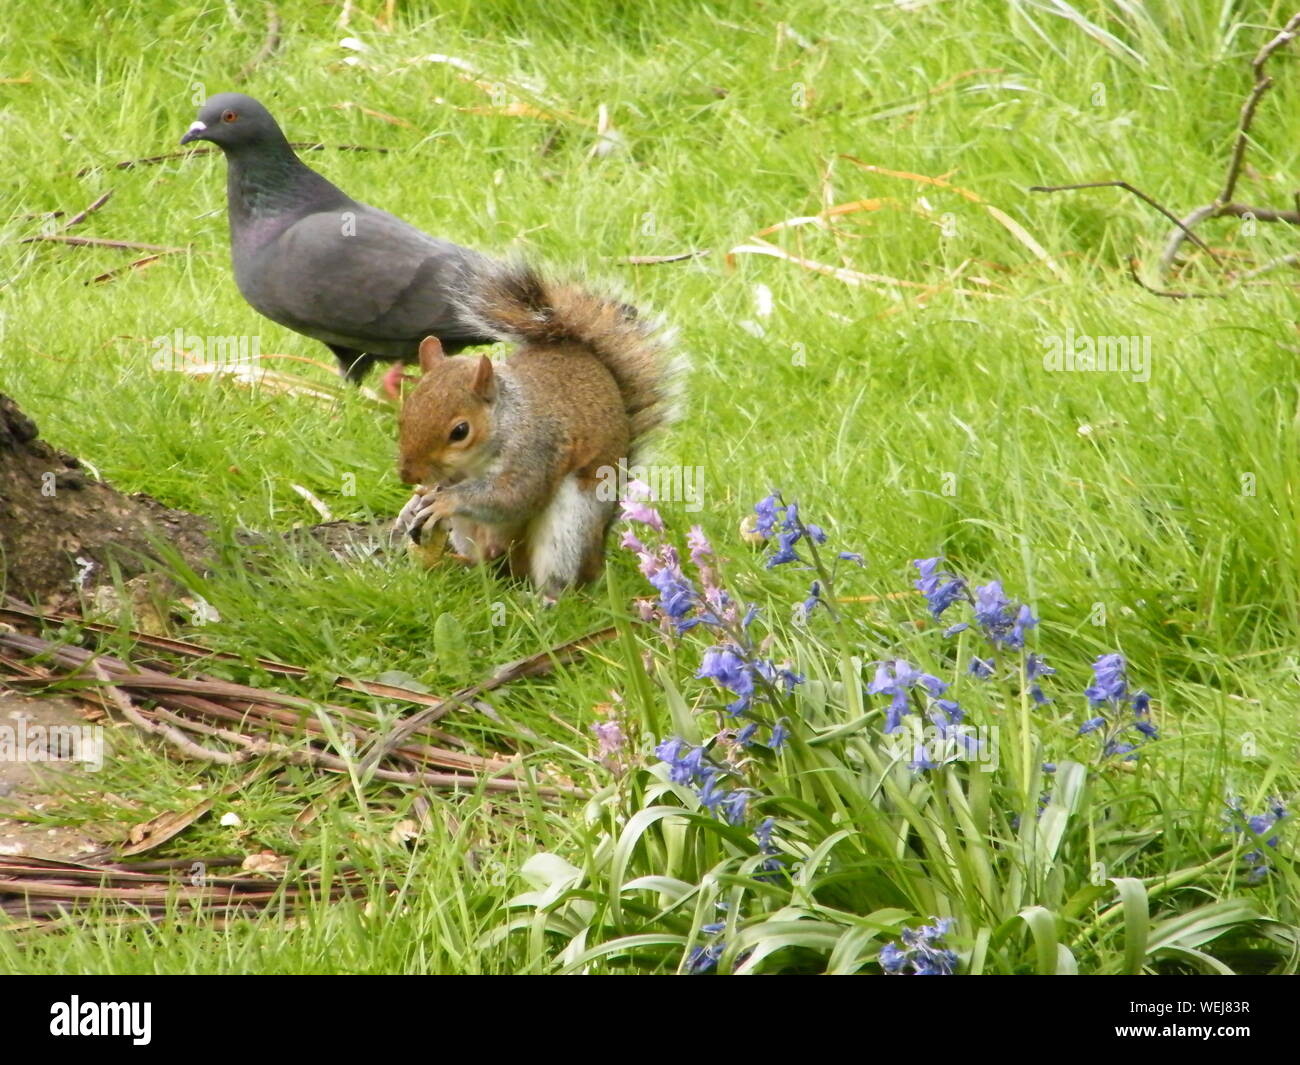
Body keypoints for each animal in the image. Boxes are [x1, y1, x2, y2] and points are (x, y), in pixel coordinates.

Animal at [394, 263, 680, 599]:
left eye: (460, 431)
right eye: (404, 415)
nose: (407, 475)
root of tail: (596, 560)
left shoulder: (536, 450)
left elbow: (513, 496)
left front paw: (445, 500)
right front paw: (414, 502)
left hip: (570, 523)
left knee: (560, 578)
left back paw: (540, 599)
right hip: (473, 534)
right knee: (484, 558)